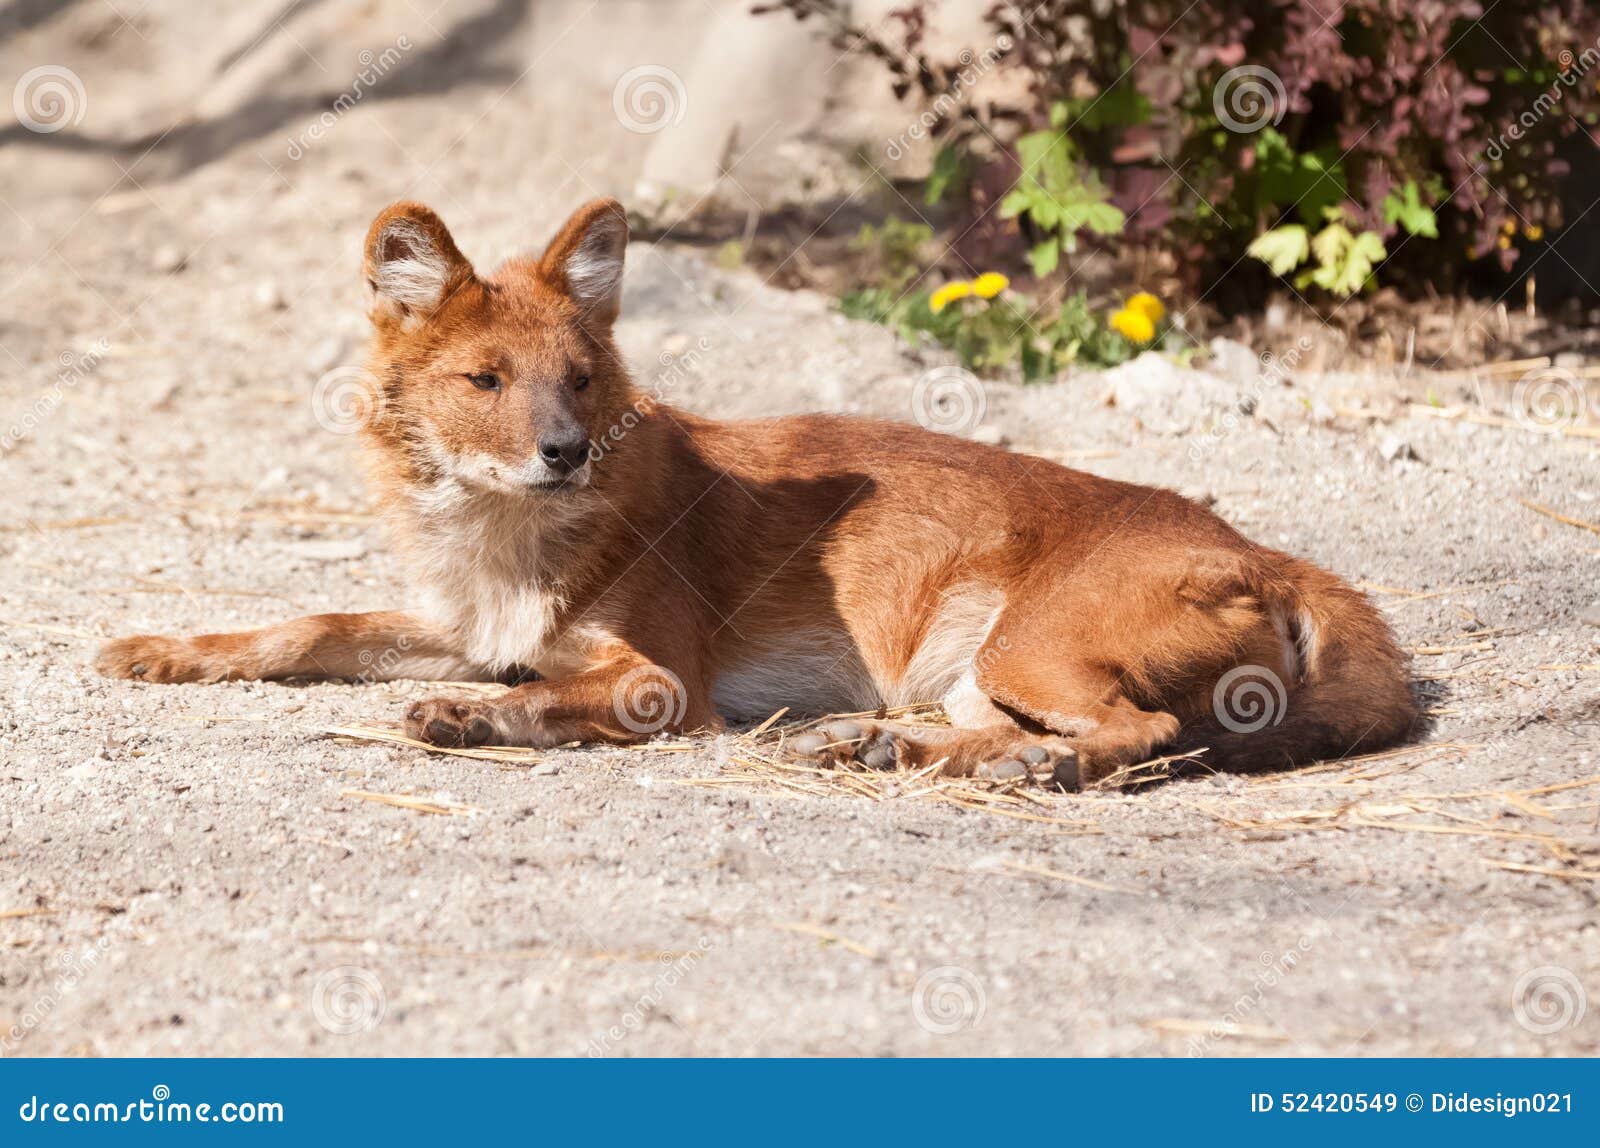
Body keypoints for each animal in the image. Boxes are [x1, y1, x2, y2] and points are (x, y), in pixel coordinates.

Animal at [95, 198, 1416, 788]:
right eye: (486, 380)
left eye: (579, 380)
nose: (563, 449)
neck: (506, 530)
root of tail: (1271, 551)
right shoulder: (472, 625)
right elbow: (310, 622)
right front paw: (165, 649)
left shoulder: (657, 679)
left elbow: (546, 699)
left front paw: (469, 719)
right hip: (977, 661)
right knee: (1027, 727)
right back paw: (878, 741)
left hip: (1029, 639)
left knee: (1139, 734)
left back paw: (990, 765)